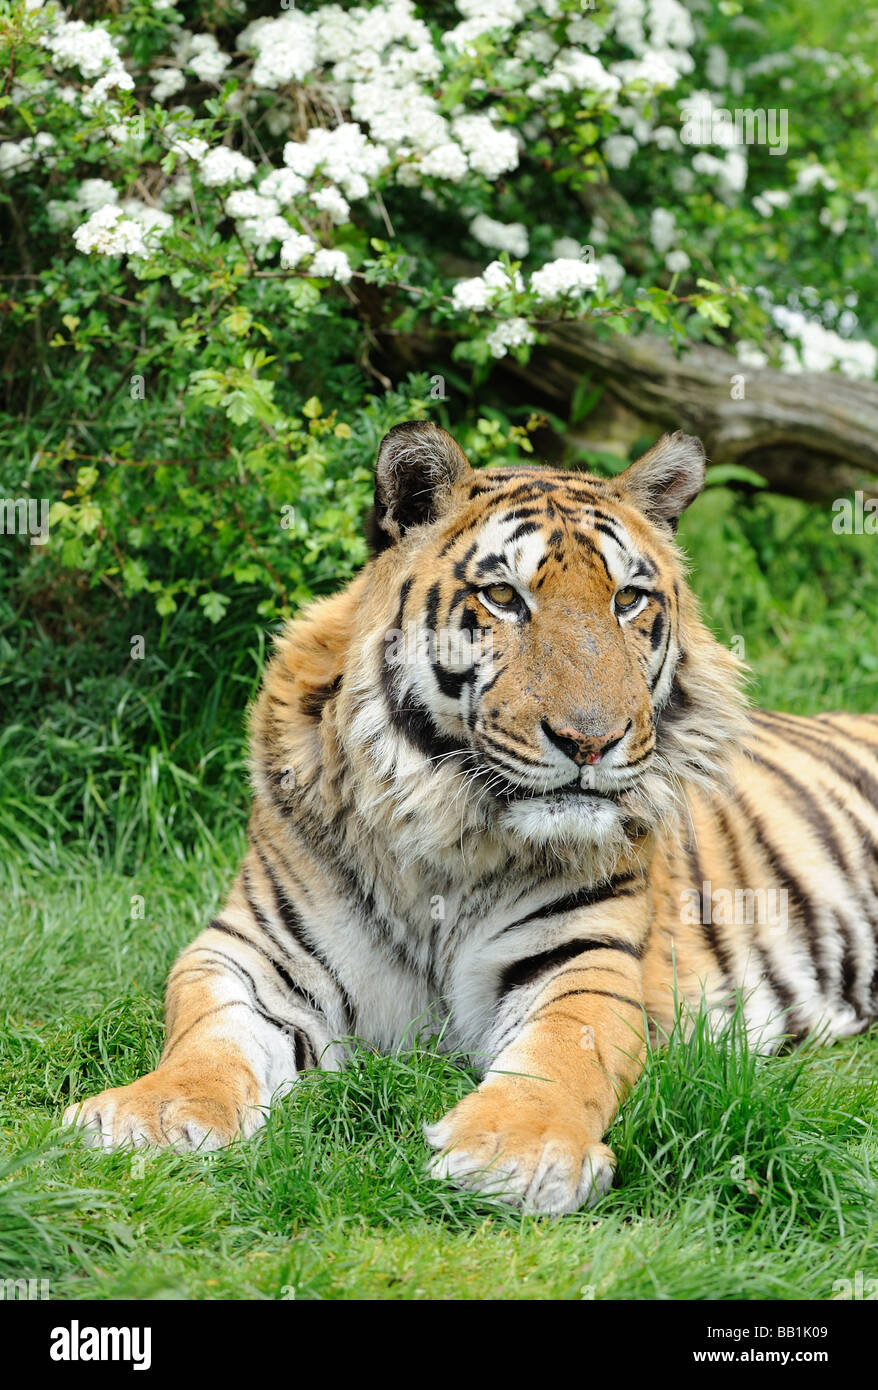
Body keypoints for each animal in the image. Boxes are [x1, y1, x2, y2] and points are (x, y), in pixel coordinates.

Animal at [63, 421, 878, 1214]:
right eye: (504, 597)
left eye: (628, 599)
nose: (592, 739)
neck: (442, 836)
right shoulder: (250, 952)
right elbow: (205, 1038)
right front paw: (150, 1115)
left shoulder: (585, 960)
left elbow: (561, 1055)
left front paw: (518, 1151)